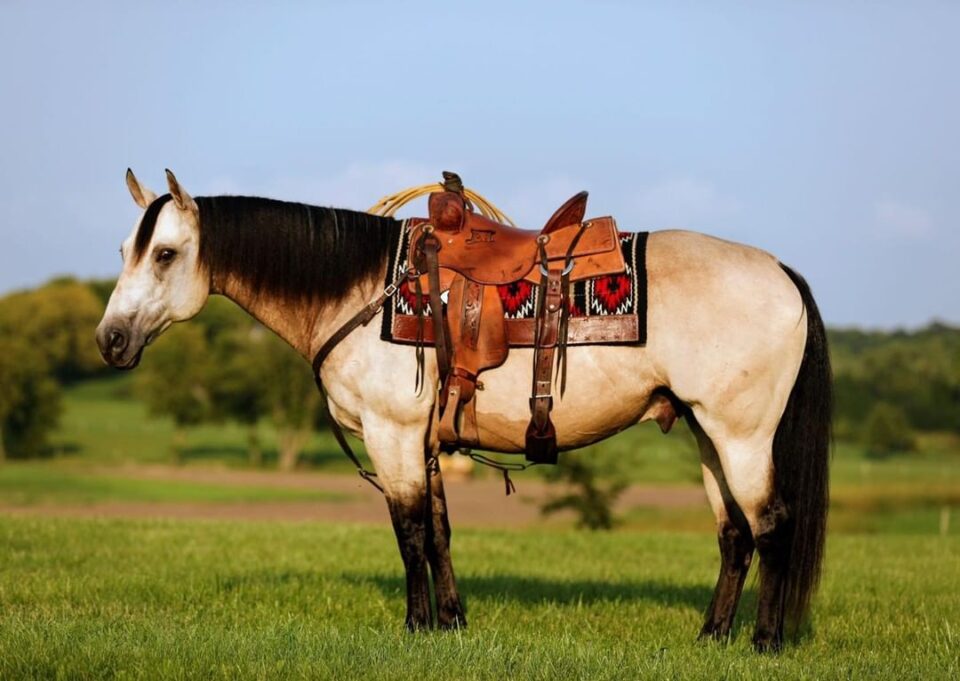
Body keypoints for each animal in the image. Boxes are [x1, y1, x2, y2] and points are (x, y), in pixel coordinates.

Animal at [96, 169, 831, 652]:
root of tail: (780, 270)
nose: (110, 340)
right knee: (734, 535)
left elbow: (409, 531)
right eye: (125, 251)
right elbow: (441, 531)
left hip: (741, 435)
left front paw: (417, 627)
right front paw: (451, 622)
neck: (359, 291)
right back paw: (712, 635)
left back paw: (764, 641)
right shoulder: (425, 442)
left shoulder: (392, 435)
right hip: (708, 434)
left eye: (165, 253)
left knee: (771, 525)